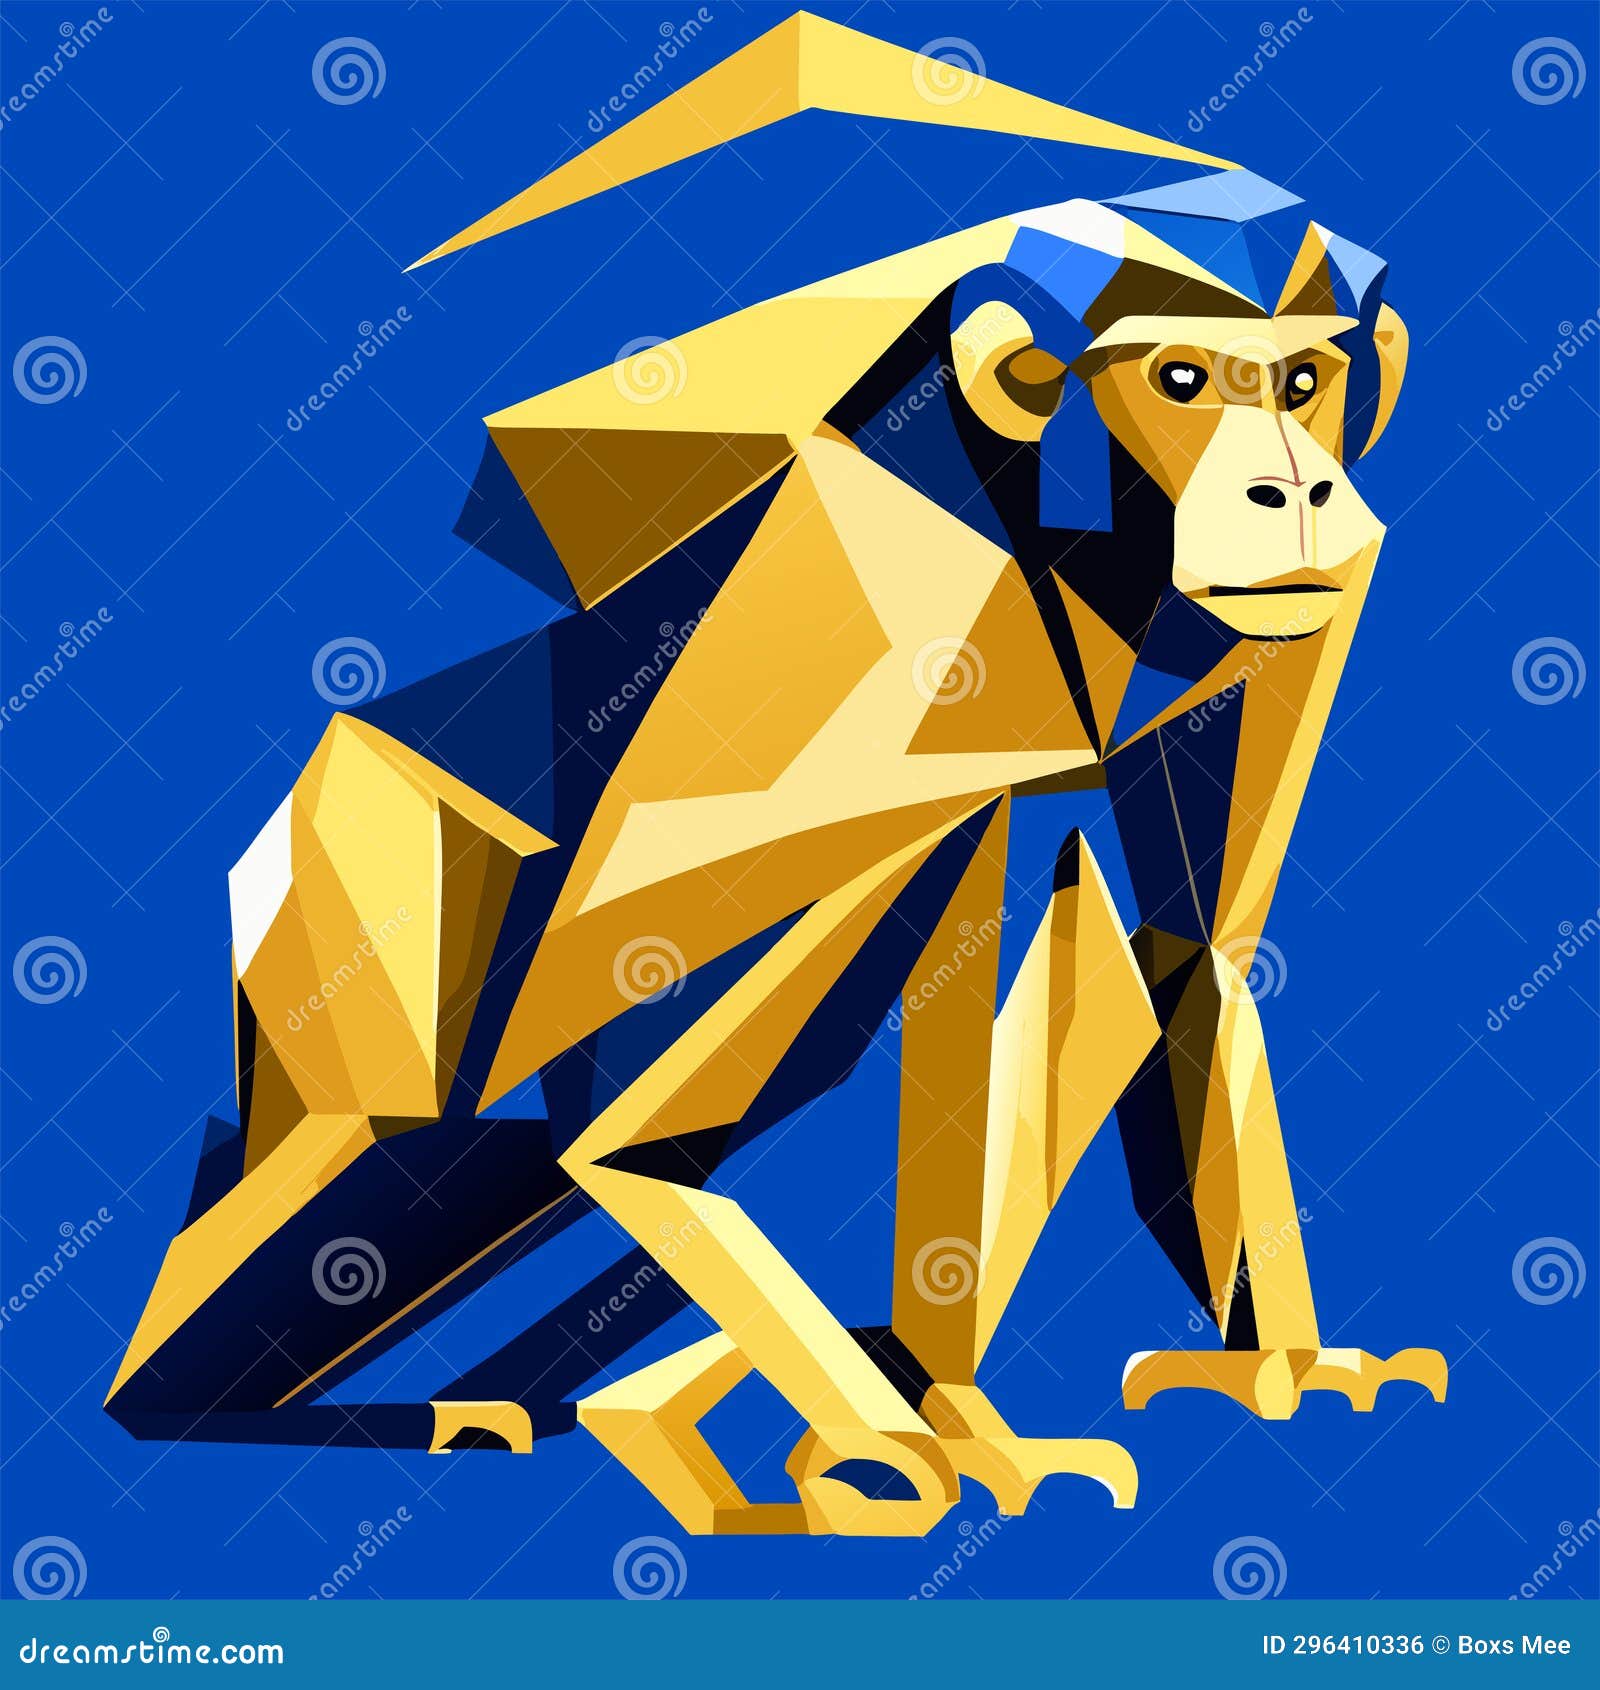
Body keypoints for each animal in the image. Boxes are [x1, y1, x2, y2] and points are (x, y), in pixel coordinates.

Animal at [107, 13, 1446, 1538]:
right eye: (1180, 378)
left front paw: (1259, 1367)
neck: (1090, 559)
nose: (1299, 493)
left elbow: (1189, 966)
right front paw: (893, 1447)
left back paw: (611, 1413)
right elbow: (635, 1146)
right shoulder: (897, 670)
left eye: (1305, 381)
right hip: (386, 1036)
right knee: (288, 1242)